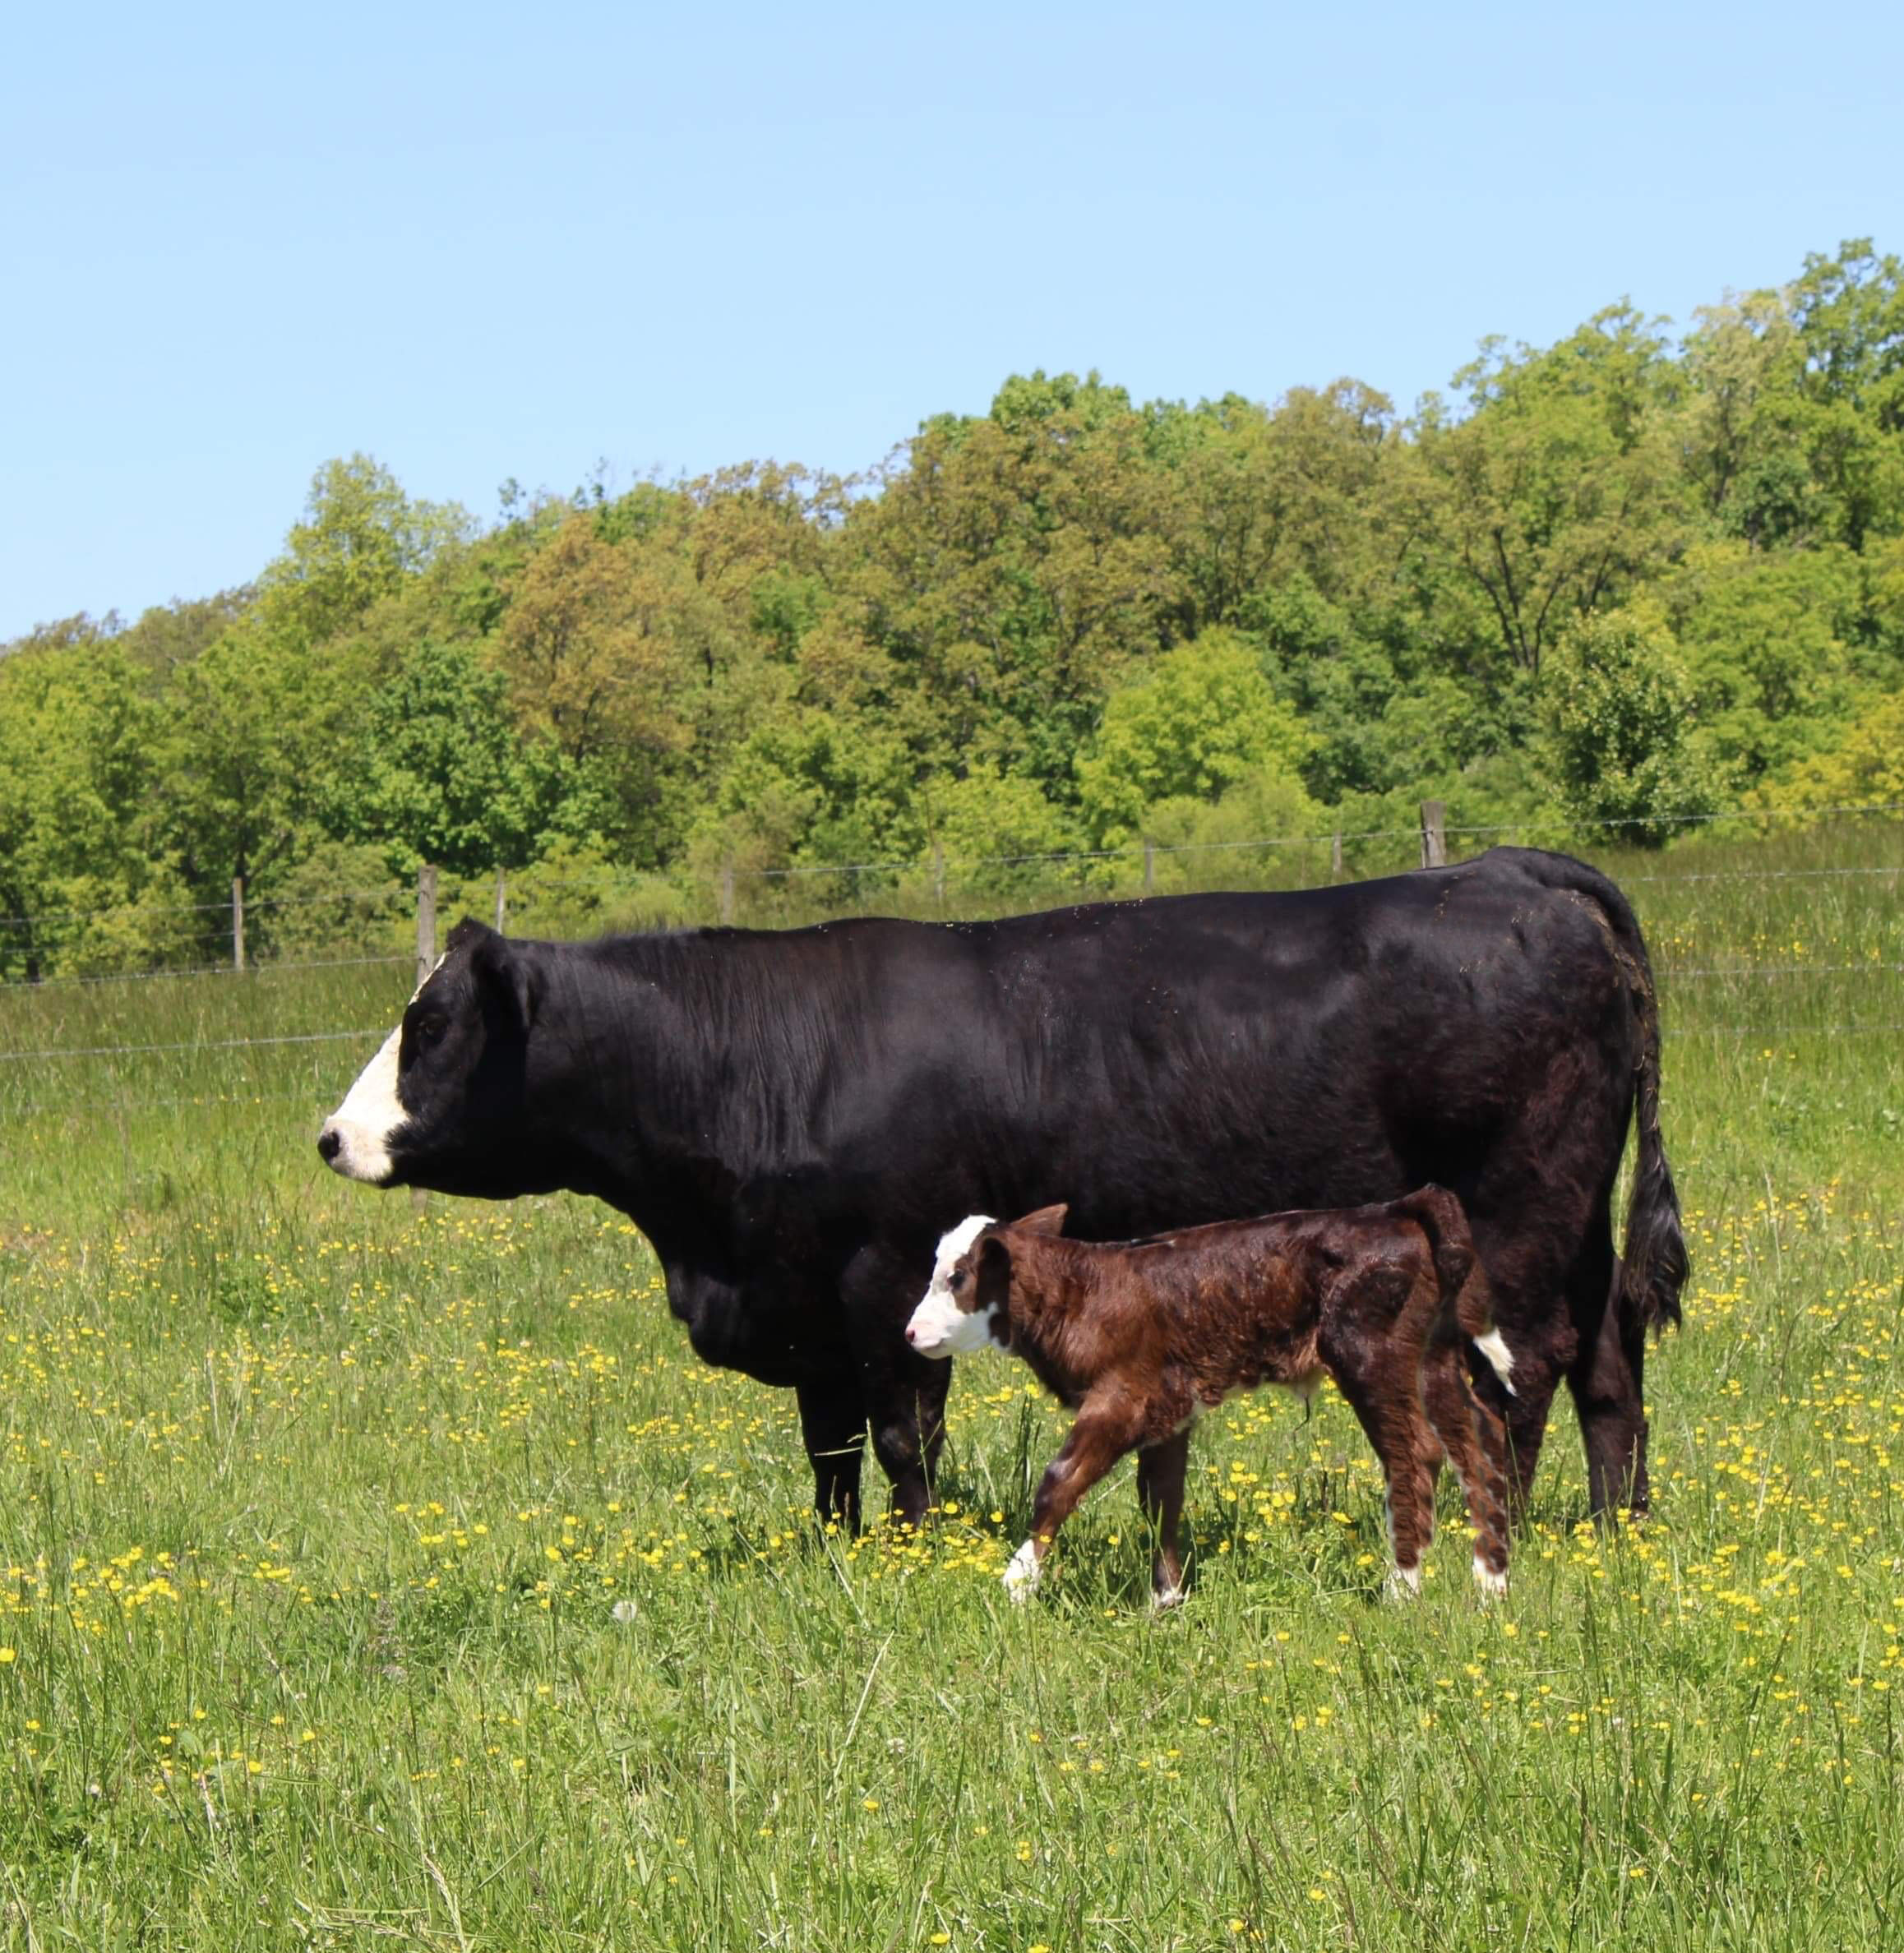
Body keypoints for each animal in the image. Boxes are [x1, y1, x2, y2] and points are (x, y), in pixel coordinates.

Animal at [317, 847, 1687, 1534]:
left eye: (430, 1025)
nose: (332, 1137)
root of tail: (1514, 871)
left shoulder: (886, 1285)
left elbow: (904, 1437)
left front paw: (917, 1556)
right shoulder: (805, 1308)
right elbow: (830, 1452)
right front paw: (841, 1555)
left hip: (1515, 1208)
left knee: (1523, 1368)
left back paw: (1508, 1521)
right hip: (1579, 1211)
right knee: (1611, 1353)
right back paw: (1616, 1527)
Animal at [904, 1190, 1515, 1607]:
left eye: (958, 1277)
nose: (910, 1333)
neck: (1081, 1295)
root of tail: (1395, 1208)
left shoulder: (1121, 1397)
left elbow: (1060, 1482)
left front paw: (1015, 1584)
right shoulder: (1167, 1412)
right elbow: (1161, 1500)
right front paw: (1166, 1603)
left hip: (1371, 1356)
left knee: (1415, 1454)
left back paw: (1401, 1588)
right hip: (1433, 1357)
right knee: (1477, 1440)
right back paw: (1491, 1585)